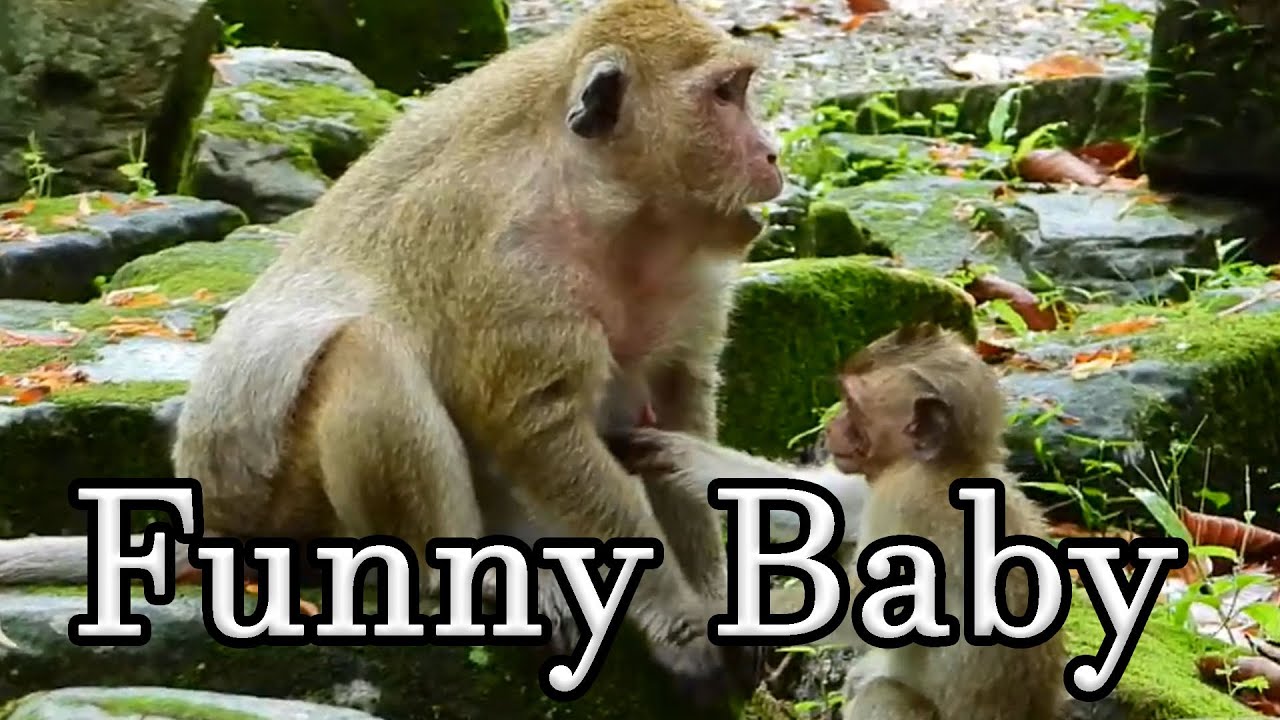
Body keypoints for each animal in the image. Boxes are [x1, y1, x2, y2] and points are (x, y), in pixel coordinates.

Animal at [0, 0, 783, 704]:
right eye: (724, 95)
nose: (772, 151)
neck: (608, 201)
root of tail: (217, 525)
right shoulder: (515, 266)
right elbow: (536, 427)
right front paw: (678, 622)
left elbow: (674, 408)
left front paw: (719, 597)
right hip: (292, 516)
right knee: (364, 354)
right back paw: (468, 582)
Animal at [608, 323, 1067, 720]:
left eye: (853, 407)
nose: (830, 426)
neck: (945, 464)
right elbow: (824, 504)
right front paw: (672, 451)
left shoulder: (905, 498)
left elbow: (869, 606)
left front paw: (710, 615)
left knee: (880, 693)